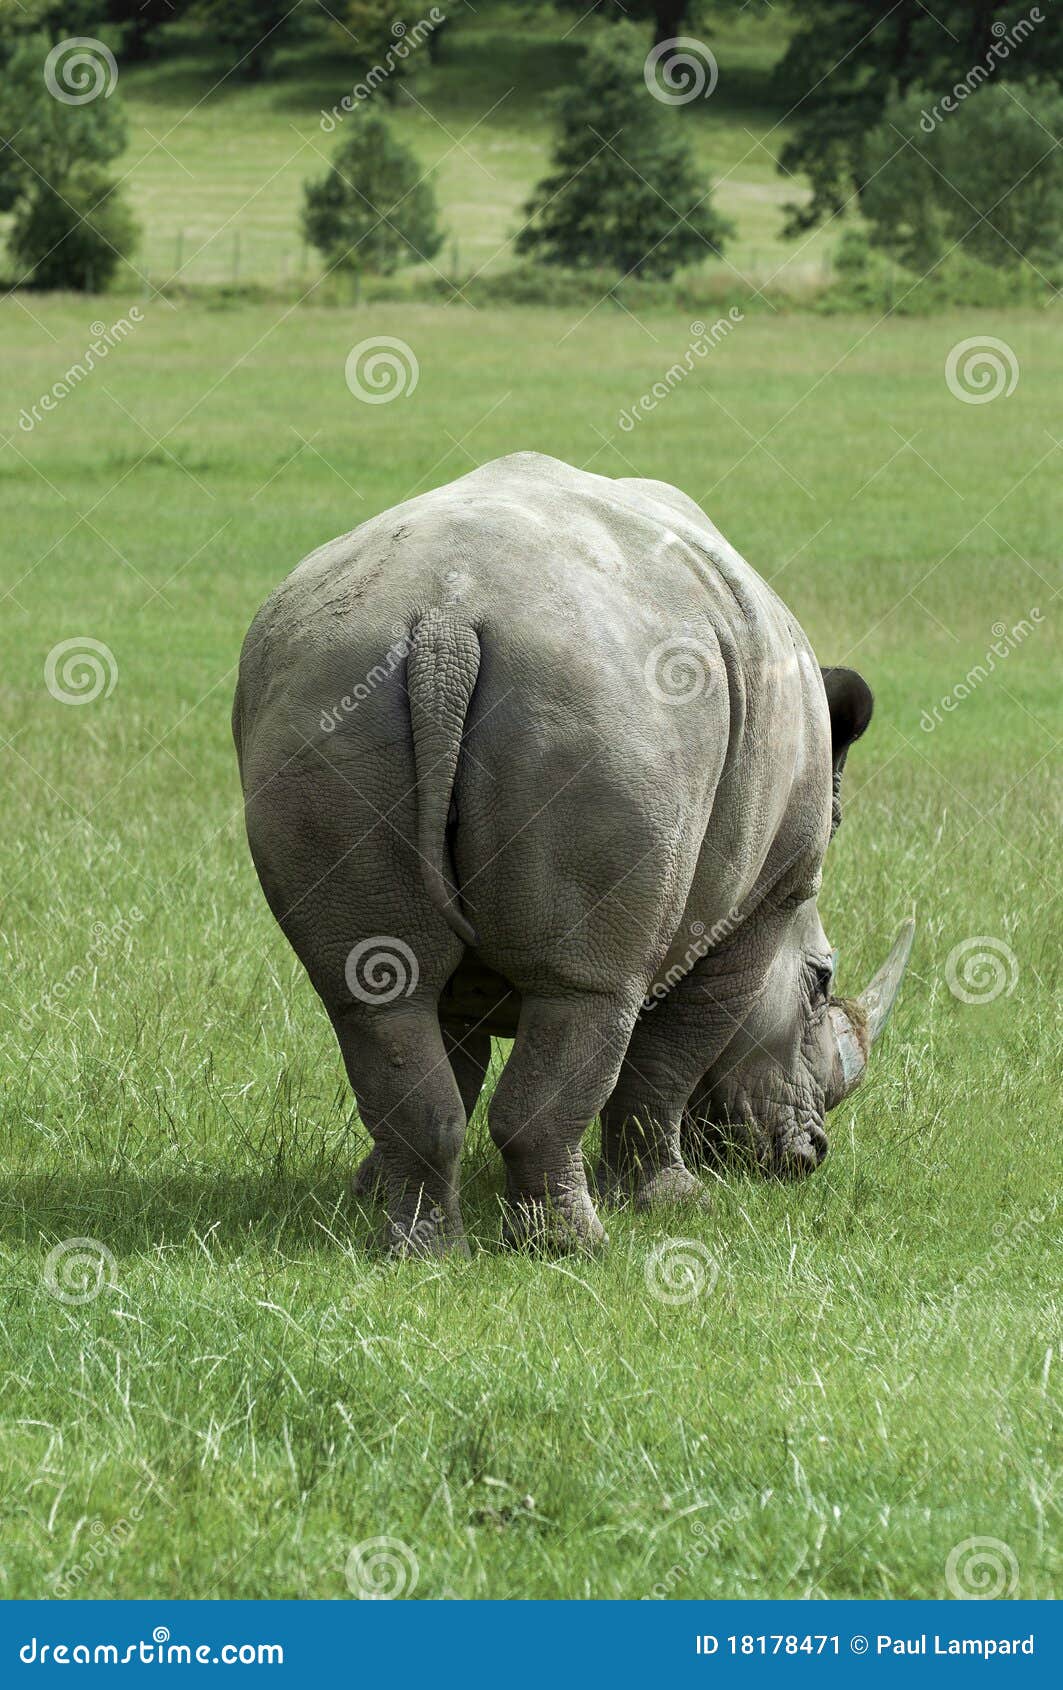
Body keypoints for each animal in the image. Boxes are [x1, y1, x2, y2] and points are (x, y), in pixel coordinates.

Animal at [233, 452, 912, 1256]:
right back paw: (573, 1246)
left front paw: (364, 1192)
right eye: (819, 981)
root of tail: (444, 622)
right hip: (606, 713)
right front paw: (672, 1202)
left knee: (375, 993)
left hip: (329, 691)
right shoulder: (758, 906)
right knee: (586, 990)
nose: (808, 1156)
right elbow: (670, 1057)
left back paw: (418, 1249)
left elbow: (450, 1051)